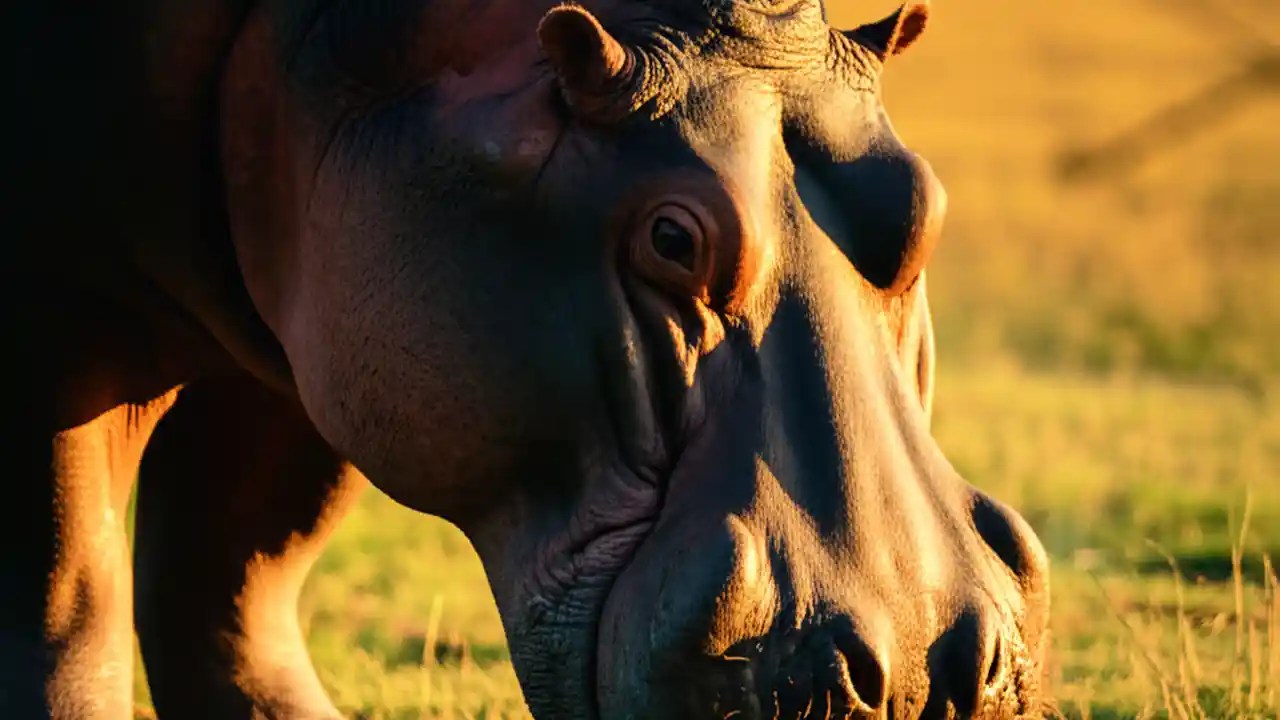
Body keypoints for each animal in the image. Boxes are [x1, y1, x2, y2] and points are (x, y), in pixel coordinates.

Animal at [2, 0, 1049, 717]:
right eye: (673, 238)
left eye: (921, 202)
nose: (924, 668)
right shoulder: (51, 336)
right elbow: (69, 605)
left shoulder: (300, 362)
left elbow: (233, 585)